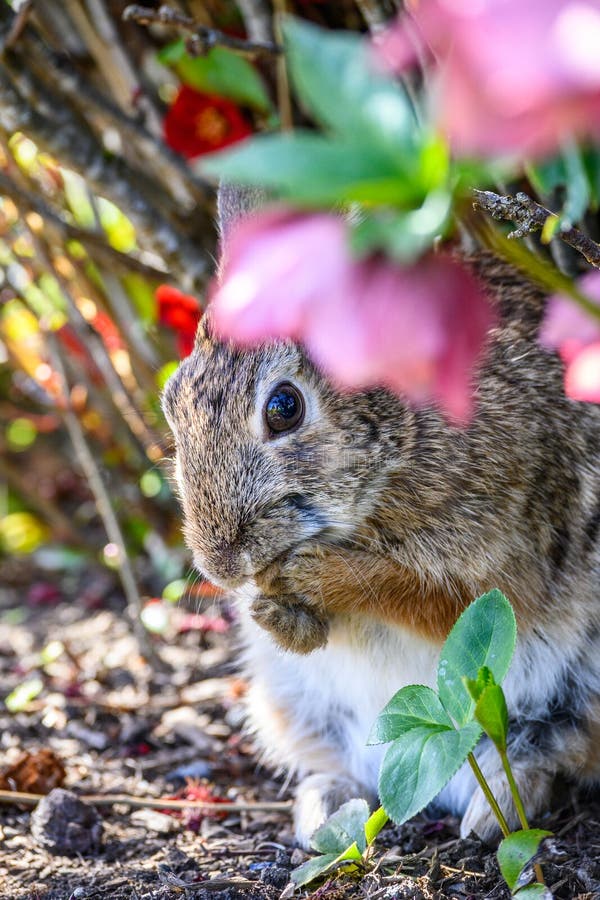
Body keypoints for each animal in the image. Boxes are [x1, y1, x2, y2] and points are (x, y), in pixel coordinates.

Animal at [162, 184, 600, 848]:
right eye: (171, 401)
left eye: (284, 407)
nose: (220, 564)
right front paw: (272, 612)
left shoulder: (505, 558)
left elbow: (416, 594)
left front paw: (315, 577)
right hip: (296, 702)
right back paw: (323, 813)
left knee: (543, 747)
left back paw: (490, 808)